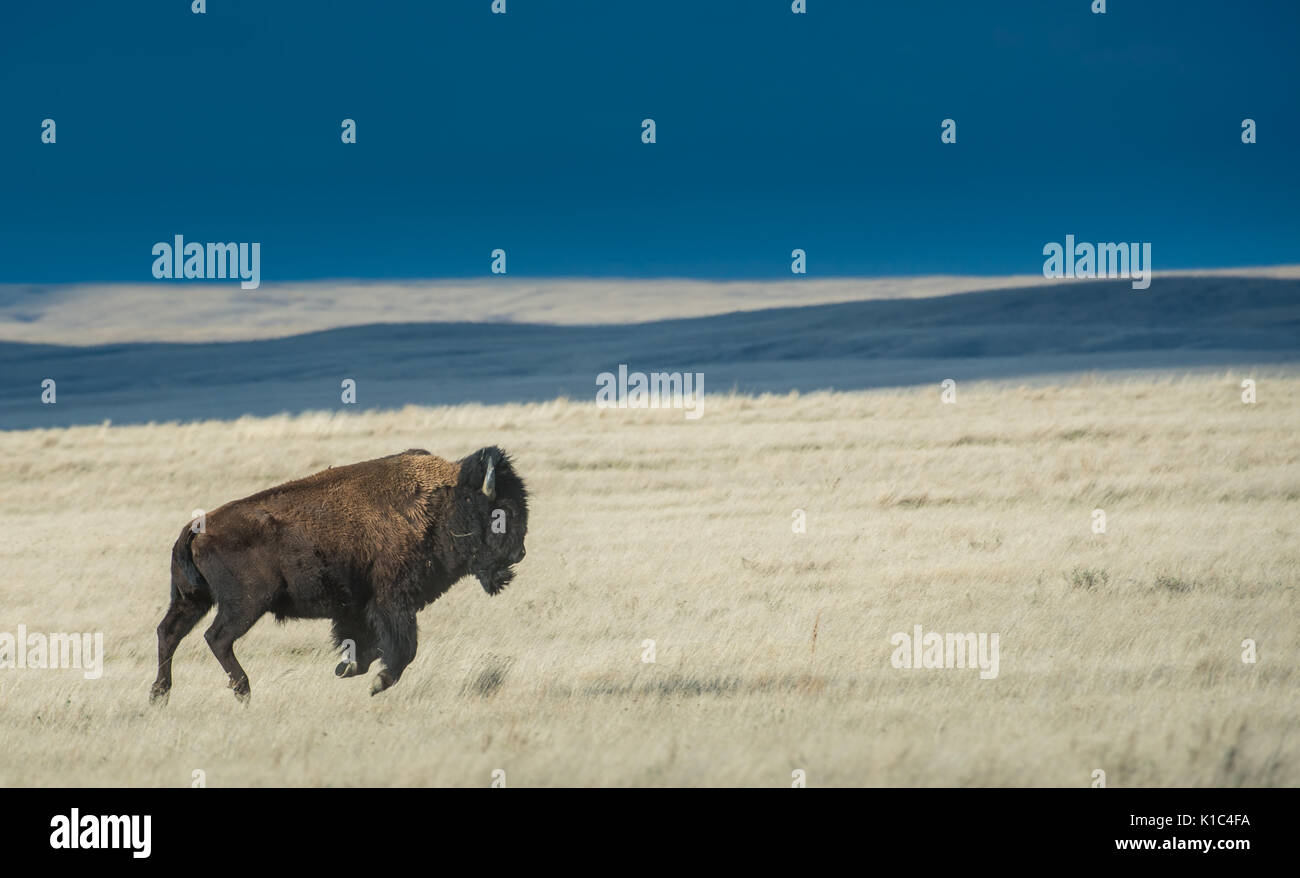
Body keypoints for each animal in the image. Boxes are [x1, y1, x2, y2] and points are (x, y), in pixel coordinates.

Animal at [149, 446, 527, 703]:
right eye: (500, 511)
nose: (519, 553)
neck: (442, 505)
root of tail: (196, 529)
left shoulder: (358, 609)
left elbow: (364, 646)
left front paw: (345, 668)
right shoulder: (392, 602)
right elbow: (403, 648)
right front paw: (377, 683)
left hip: (193, 600)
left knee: (169, 633)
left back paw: (160, 695)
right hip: (244, 605)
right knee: (217, 638)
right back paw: (243, 691)